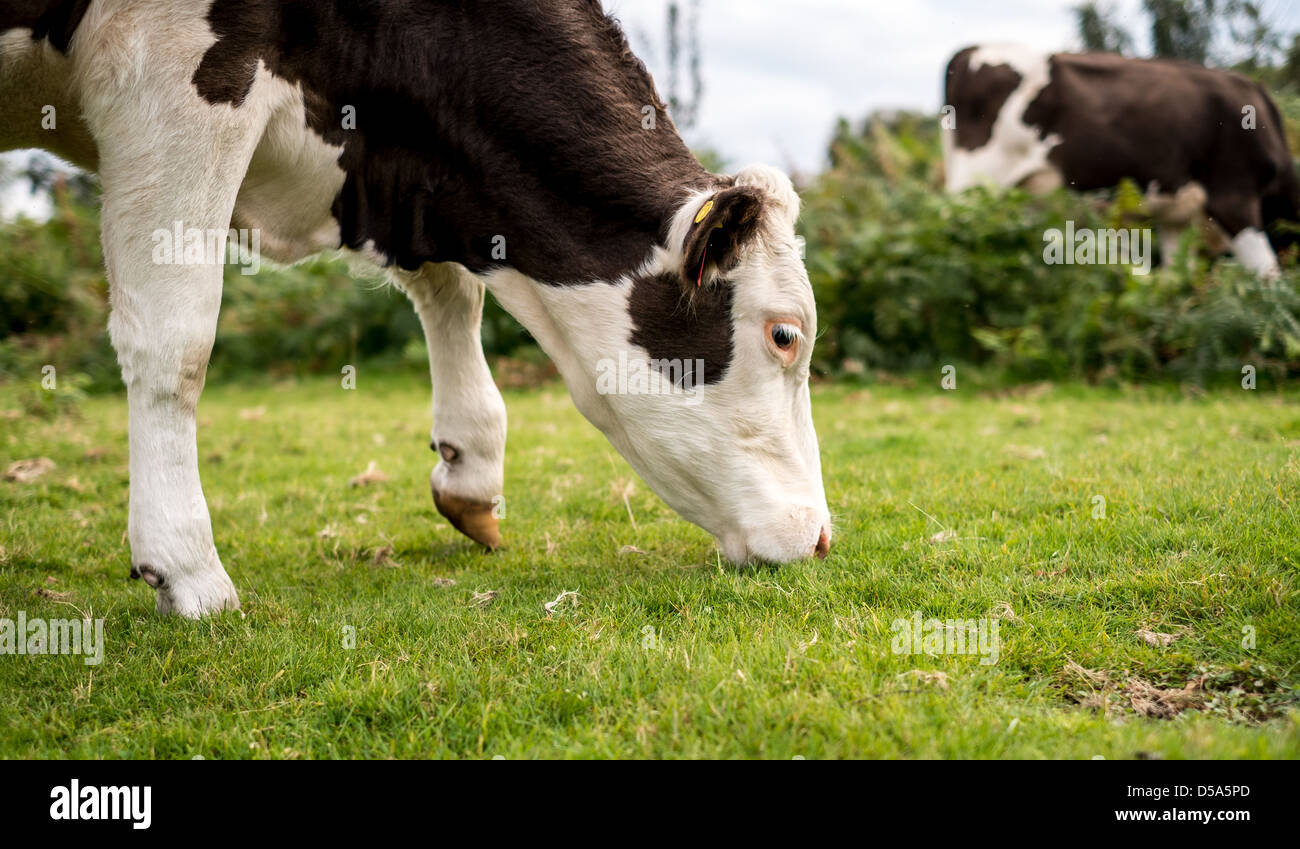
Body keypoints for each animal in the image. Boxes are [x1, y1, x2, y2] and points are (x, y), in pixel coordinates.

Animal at [1, 0, 831, 617]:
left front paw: (472, 474)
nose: (822, 538)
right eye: (784, 335)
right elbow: (177, 340)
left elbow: (451, 290)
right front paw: (187, 571)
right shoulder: (169, 76)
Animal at [942, 44, 1300, 276]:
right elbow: (1268, 276)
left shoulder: (1177, 216)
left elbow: (1176, 278)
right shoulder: (1234, 198)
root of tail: (969, 51)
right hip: (974, 185)